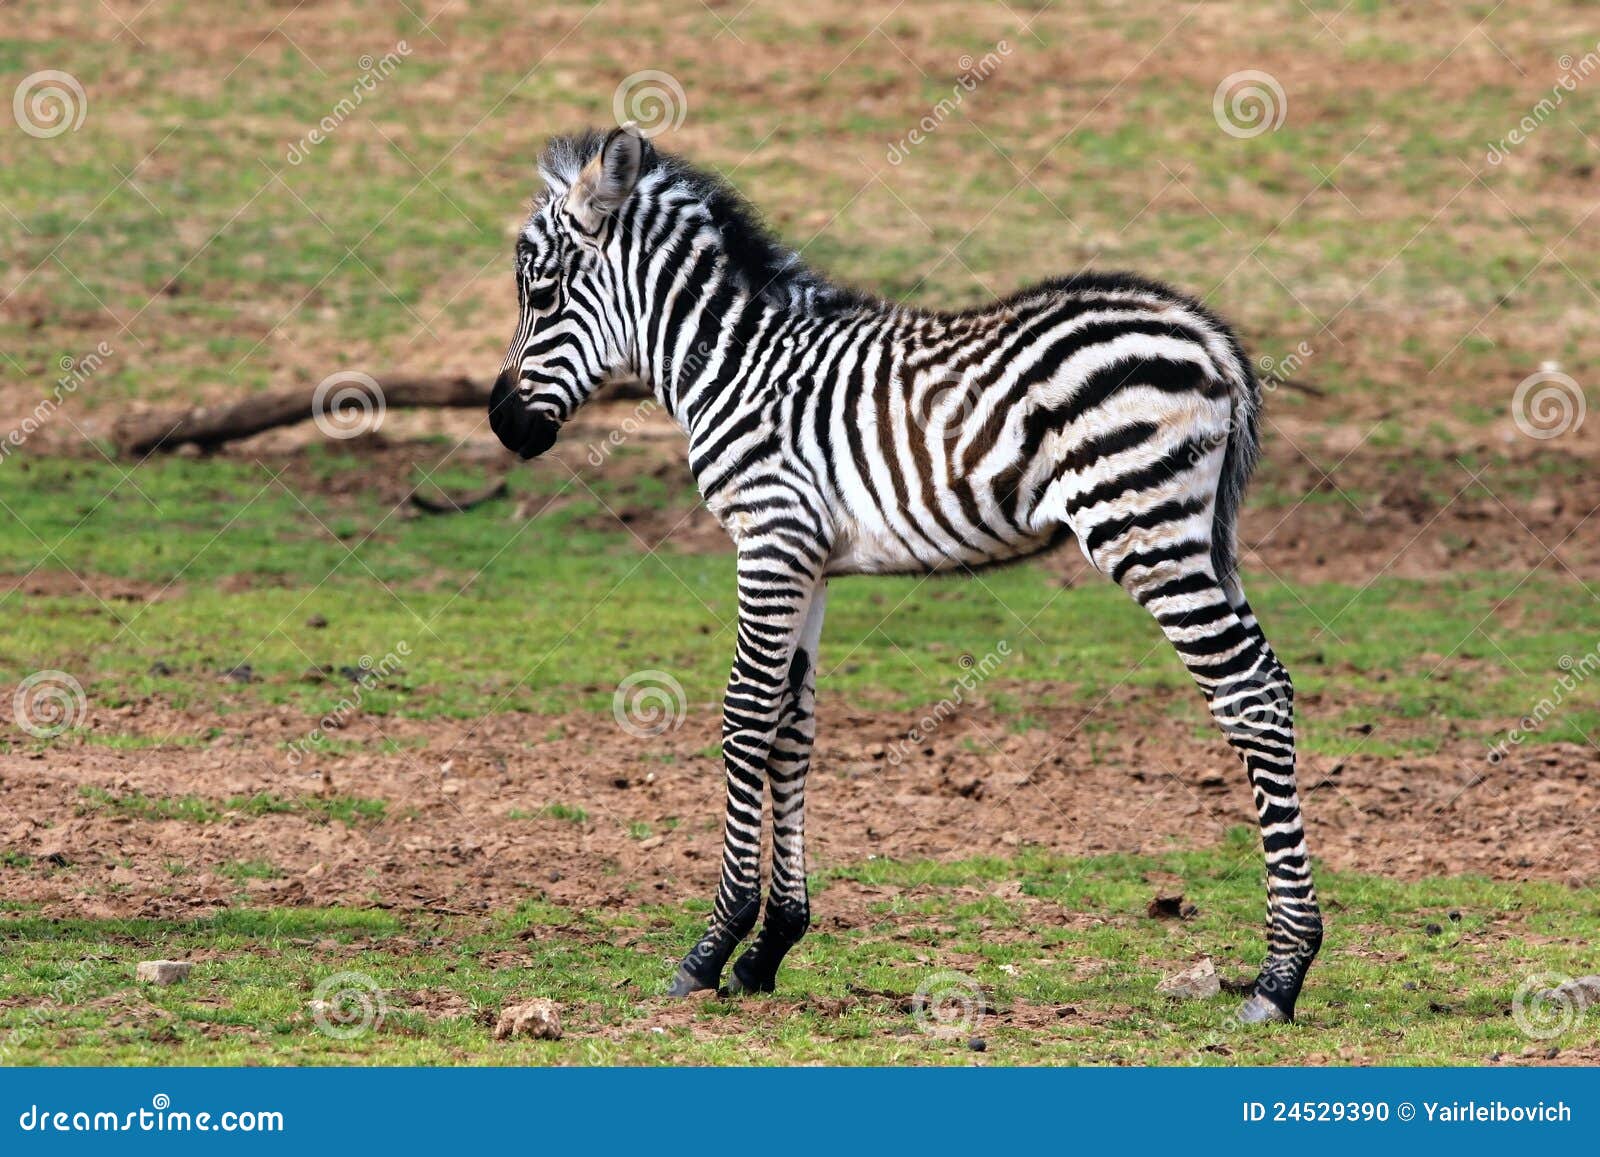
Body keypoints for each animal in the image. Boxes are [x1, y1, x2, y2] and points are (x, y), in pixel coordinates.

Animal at [490, 125, 1323, 1023]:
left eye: (541, 293)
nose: (501, 424)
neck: (735, 366)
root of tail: (1202, 330)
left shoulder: (770, 535)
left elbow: (745, 717)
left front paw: (712, 948)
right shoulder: (810, 560)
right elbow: (793, 728)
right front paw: (771, 945)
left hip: (1142, 527)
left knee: (1248, 694)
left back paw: (1279, 977)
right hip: (1198, 536)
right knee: (1271, 683)